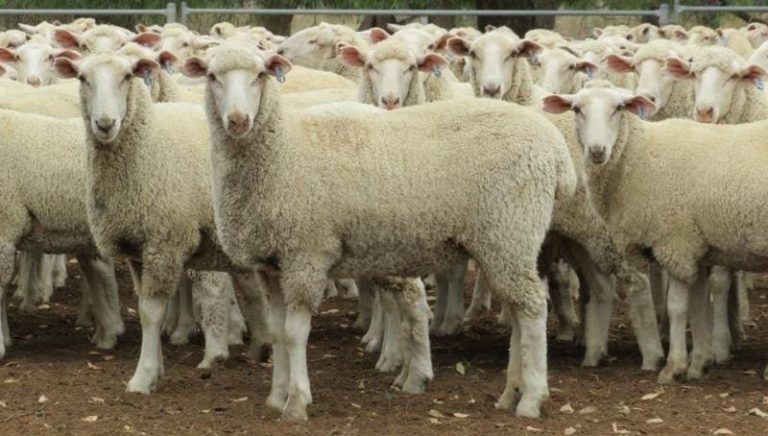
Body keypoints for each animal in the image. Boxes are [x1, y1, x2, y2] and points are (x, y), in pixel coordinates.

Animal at [54, 50, 270, 393]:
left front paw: (142, 377)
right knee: (252, 286)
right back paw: (260, 346)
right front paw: (156, 369)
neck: (146, 147)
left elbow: (152, 313)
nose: (105, 124)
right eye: (82, 78)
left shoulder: (163, 243)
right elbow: (143, 306)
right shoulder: (136, 250)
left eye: (127, 77)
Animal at [183, 42, 577, 420]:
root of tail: (556, 150)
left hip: (510, 231)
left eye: (261, 75)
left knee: (532, 310)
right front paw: (276, 397)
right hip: (504, 244)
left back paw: (532, 398)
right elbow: (279, 332)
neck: (281, 151)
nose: (238, 120)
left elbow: (295, 335)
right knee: (517, 311)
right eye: (213, 76)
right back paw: (511, 393)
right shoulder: (272, 265)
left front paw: (296, 402)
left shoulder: (306, 255)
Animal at [543, 82, 768, 383]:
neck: (640, 156)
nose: (597, 151)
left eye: (619, 108)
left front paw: (673, 367)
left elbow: (677, 309)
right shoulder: (695, 249)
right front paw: (699, 364)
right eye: (577, 109)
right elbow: (698, 308)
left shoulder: (676, 244)